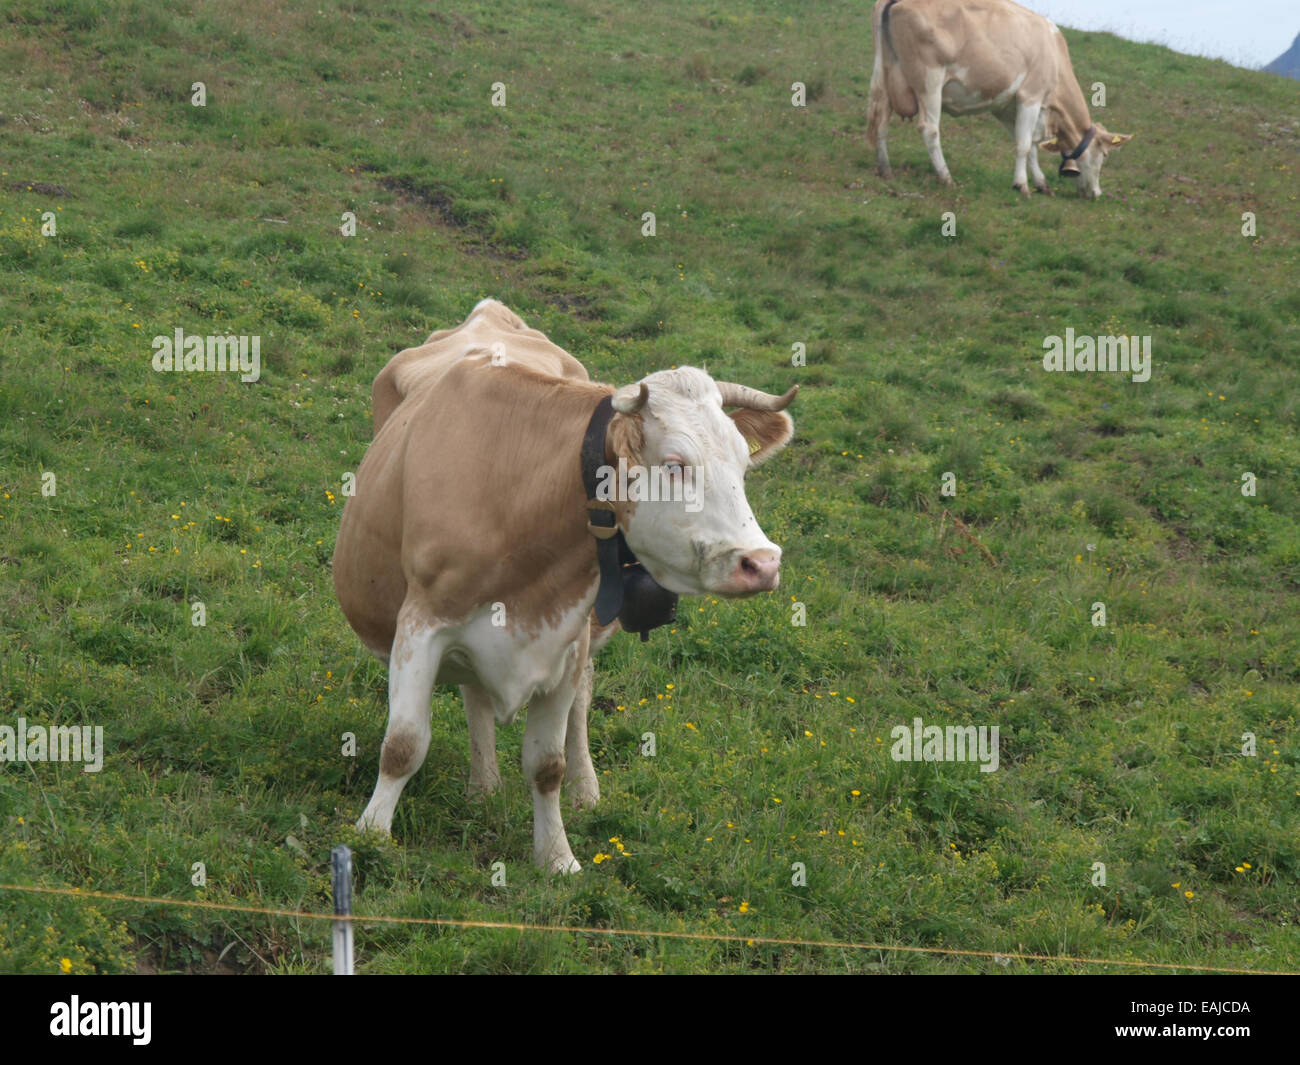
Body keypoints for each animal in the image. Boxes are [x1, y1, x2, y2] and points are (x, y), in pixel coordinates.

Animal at [333, 299, 796, 873]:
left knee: (575, 708)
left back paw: (581, 789)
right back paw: (483, 787)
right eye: (674, 464)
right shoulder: (422, 622)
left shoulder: (566, 641)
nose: (762, 563)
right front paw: (372, 835)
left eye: (742, 462)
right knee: (473, 694)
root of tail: (489, 312)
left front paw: (556, 857)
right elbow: (403, 744)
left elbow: (546, 763)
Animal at [866, 0, 1133, 198]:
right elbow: (1024, 144)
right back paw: (945, 177)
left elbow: (1029, 145)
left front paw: (1041, 184)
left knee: (881, 121)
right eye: (1105, 155)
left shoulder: (1007, 107)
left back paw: (885, 169)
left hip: (884, 76)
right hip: (929, 79)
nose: (1096, 194)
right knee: (929, 129)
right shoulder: (1031, 96)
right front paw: (1022, 186)